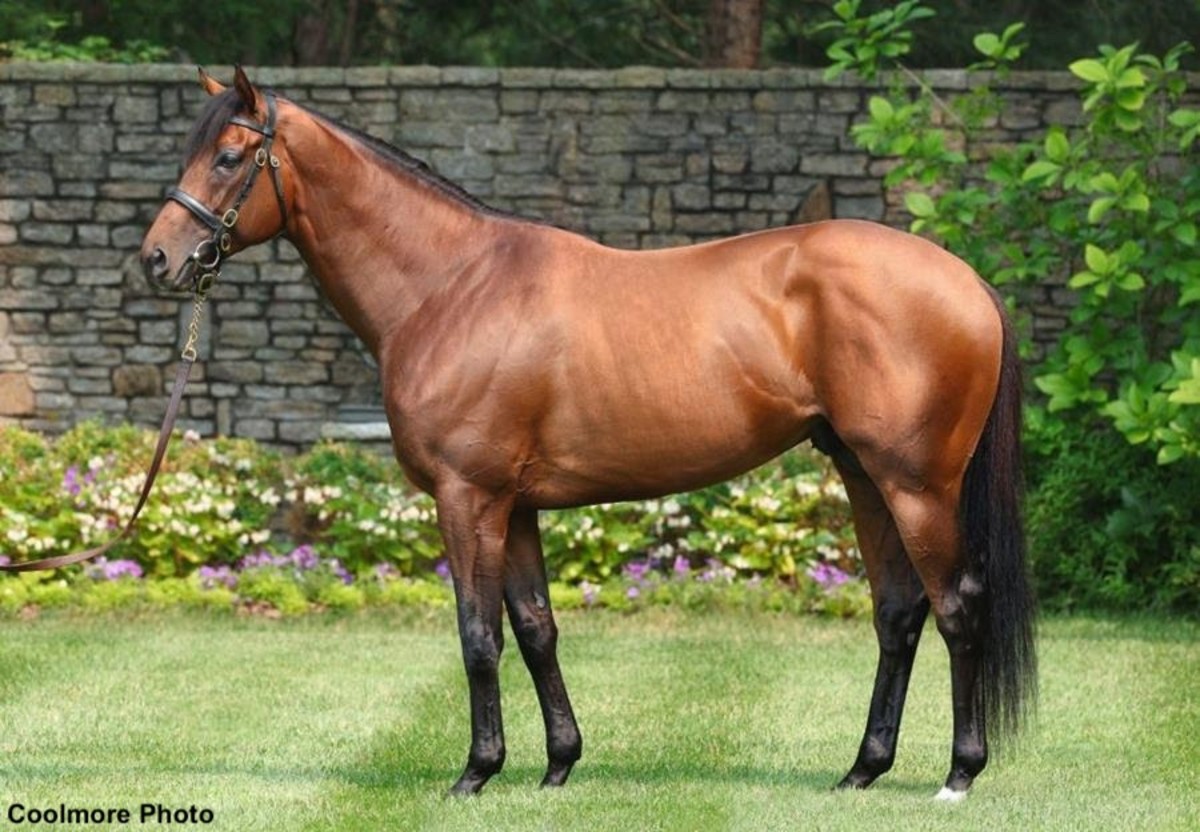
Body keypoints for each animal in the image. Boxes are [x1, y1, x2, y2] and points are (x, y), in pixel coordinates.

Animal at [140, 67, 1036, 801]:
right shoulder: (514, 506)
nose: (156, 259)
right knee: (897, 613)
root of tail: (967, 281)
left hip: (917, 484)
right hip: (862, 474)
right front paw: (558, 764)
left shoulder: (468, 499)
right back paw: (862, 769)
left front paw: (475, 773)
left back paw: (959, 774)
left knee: (956, 606)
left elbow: (477, 636)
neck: (449, 286)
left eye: (228, 156)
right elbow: (536, 629)